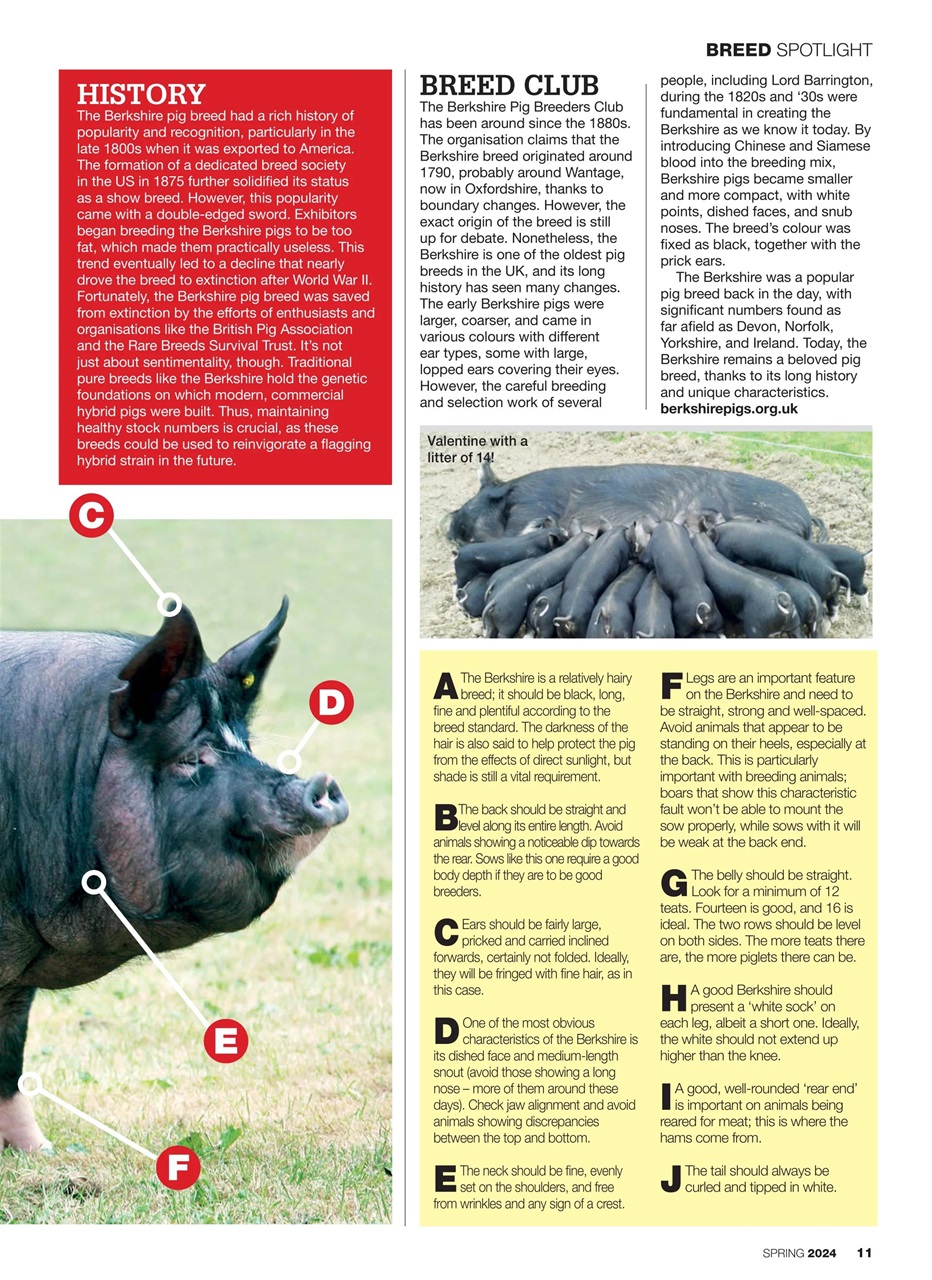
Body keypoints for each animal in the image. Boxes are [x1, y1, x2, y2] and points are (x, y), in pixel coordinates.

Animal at [0, 599, 348, 1151]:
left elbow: (9, 1053)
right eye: (190, 758)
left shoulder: (16, 976)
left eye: (244, 746)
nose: (320, 785)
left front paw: (41, 1154)